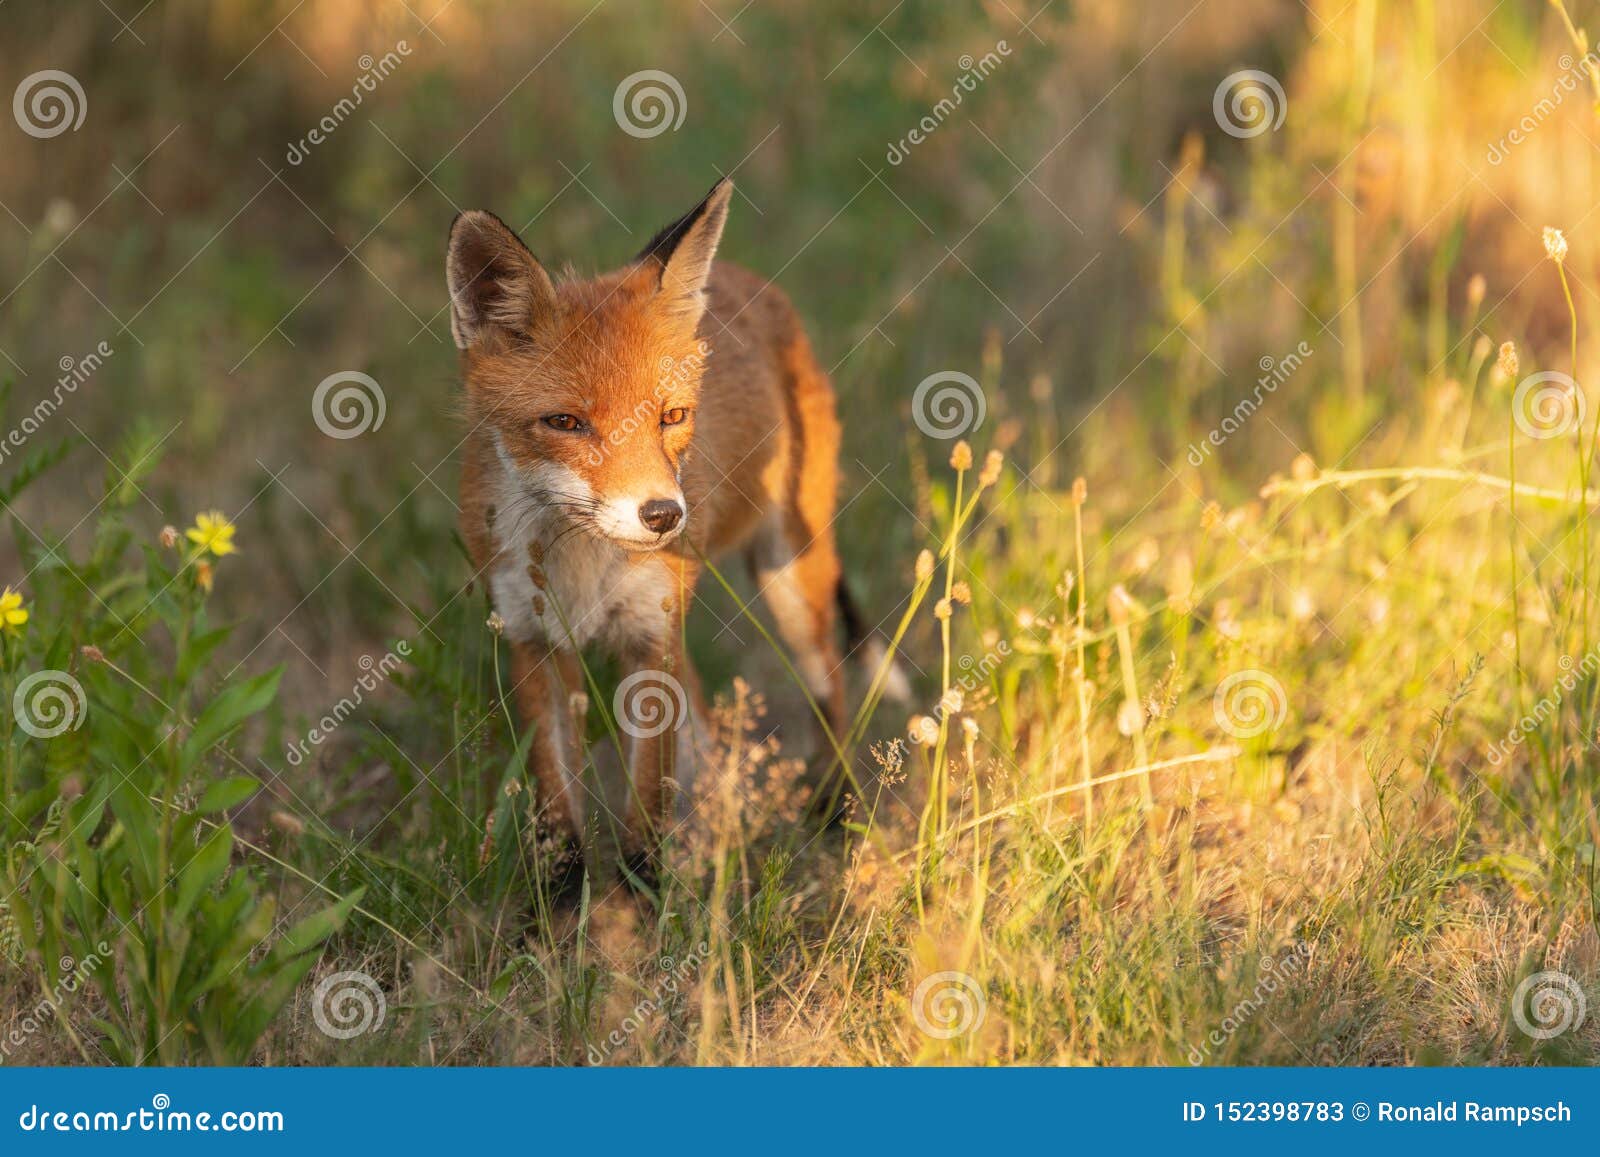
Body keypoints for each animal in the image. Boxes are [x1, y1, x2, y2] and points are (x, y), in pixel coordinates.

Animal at [446, 178, 903, 875]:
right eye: (565, 423)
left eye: (672, 416)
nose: (664, 515)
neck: (583, 562)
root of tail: (747, 280)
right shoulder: (532, 638)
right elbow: (558, 814)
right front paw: (562, 898)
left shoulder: (649, 636)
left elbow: (644, 817)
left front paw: (643, 893)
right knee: (708, 720)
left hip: (791, 578)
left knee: (830, 687)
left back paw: (834, 809)